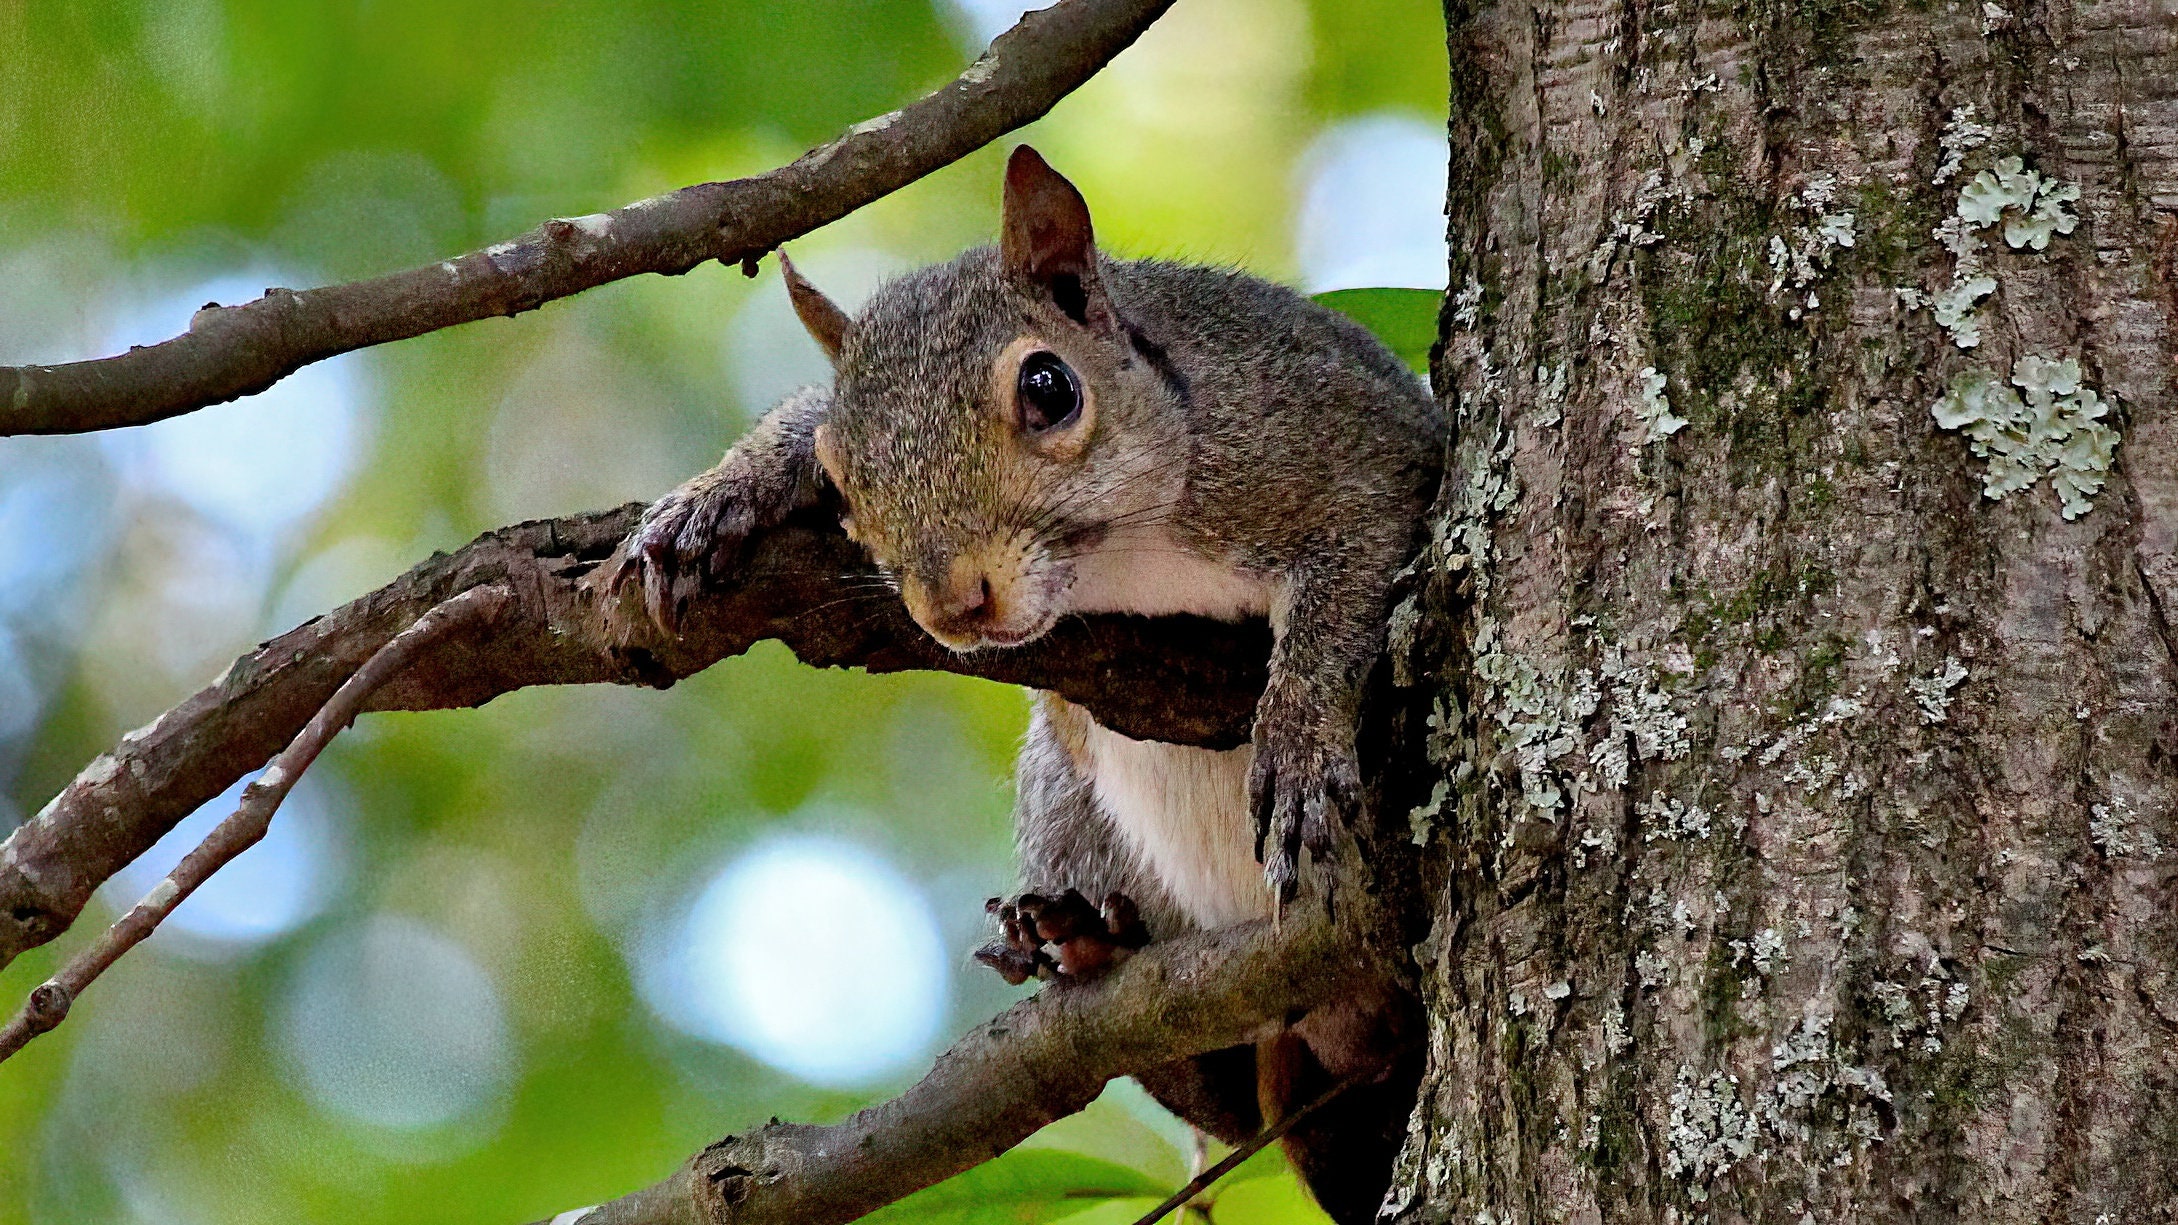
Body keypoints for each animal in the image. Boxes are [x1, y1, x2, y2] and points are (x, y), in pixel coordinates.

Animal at [616, 146, 1447, 1225]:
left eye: (1049, 388)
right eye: (838, 476)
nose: (953, 601)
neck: (1121, 551)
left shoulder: (1337, 440)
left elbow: (1348, 575)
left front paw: (1300, 743)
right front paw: (714, 496)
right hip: (1065, 799)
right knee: (1210, 1085)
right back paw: (1084, 938)